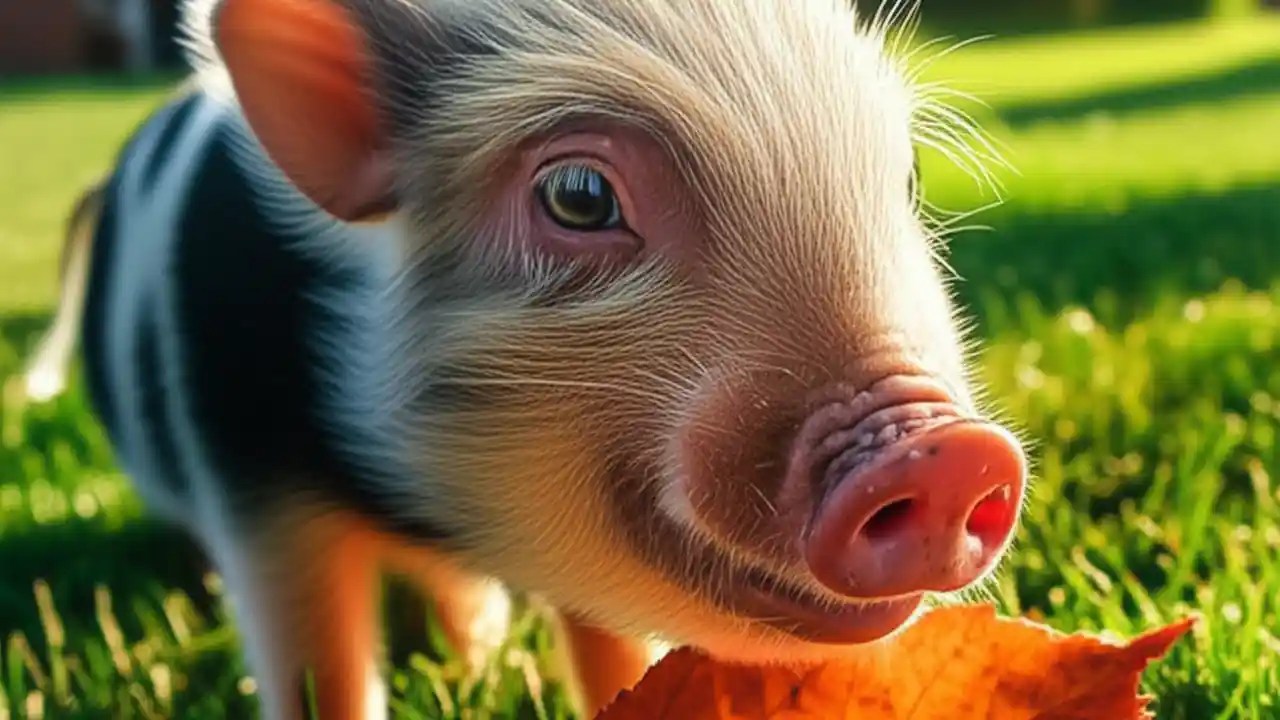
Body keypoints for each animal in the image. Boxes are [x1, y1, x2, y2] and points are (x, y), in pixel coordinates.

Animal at [25, 0, 1028, 717]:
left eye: (907, 179)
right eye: (578, 196)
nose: (944, 447)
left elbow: (613, 649)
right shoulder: (251, 483)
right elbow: (318, 663)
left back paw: (473, 661)